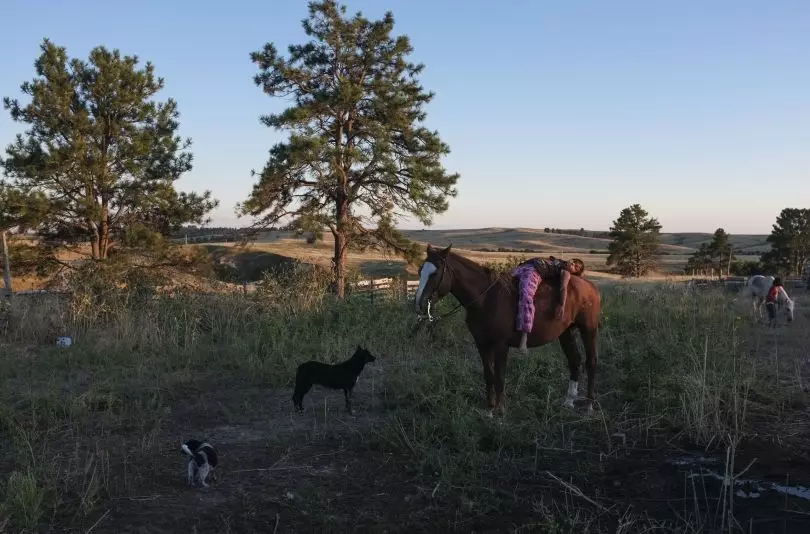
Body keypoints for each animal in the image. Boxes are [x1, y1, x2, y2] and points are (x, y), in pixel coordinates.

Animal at [414, 245, 596, 416]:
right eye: (420, 271)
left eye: (434, 273)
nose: (419, 304)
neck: (486, 299)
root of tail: (590, 286)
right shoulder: (481, 343)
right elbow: (489, 375)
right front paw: (490, 408)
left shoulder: (501, 345)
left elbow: (499, 376)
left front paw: (500, 410)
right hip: (565, 332)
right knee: (575, 361)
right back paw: (569, 401)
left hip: (588, 330)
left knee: (591, 362)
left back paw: (589, 405)